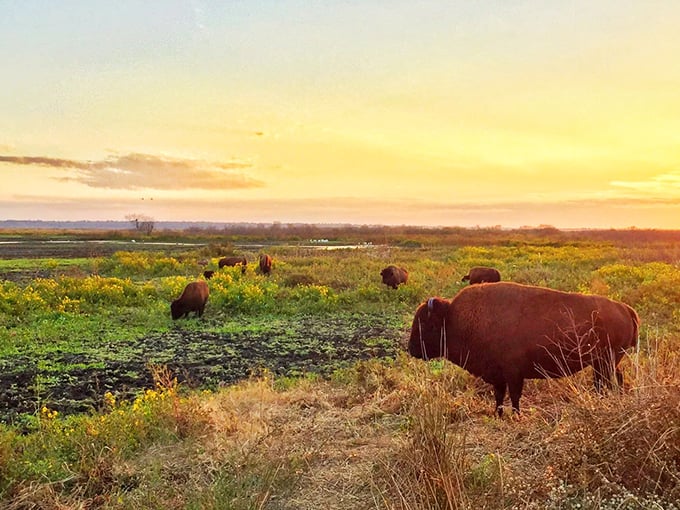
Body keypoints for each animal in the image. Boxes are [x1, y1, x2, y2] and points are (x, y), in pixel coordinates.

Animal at [408, 282, 639, 416]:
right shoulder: (499, 375)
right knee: (613, 380)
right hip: (606, 362)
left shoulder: (513, 374)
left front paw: (516, 415)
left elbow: (514, 396)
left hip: (605, 361)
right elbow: (499, 396)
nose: (411, 349)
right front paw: (499, 414)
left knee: (606, 381)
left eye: (425, 324)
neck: (453, 319)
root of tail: (625, 308)